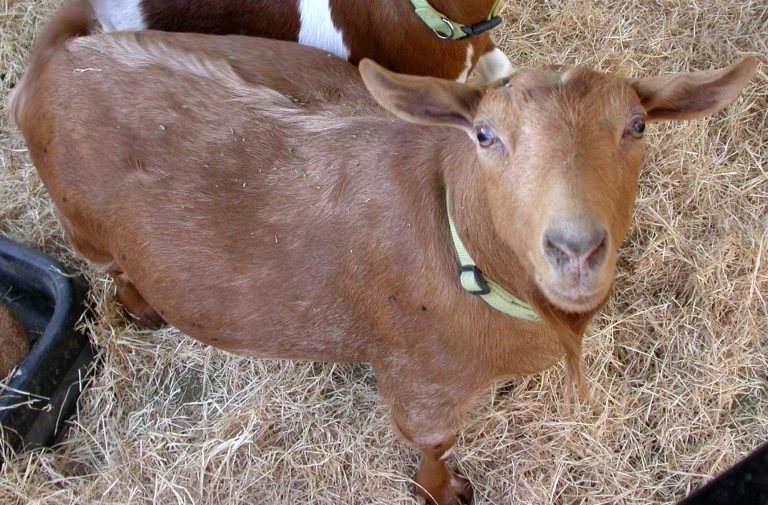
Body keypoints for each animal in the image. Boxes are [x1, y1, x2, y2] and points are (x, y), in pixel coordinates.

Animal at [10, 2, 756, 503]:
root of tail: (55, 56)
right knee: (114, 269)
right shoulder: (420, 381)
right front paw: (442, 491)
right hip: (84, 227)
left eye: (637, 126)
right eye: (485, 135)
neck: (460, 236)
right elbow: (432, 442)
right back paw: (142, 309)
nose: (575, 248)